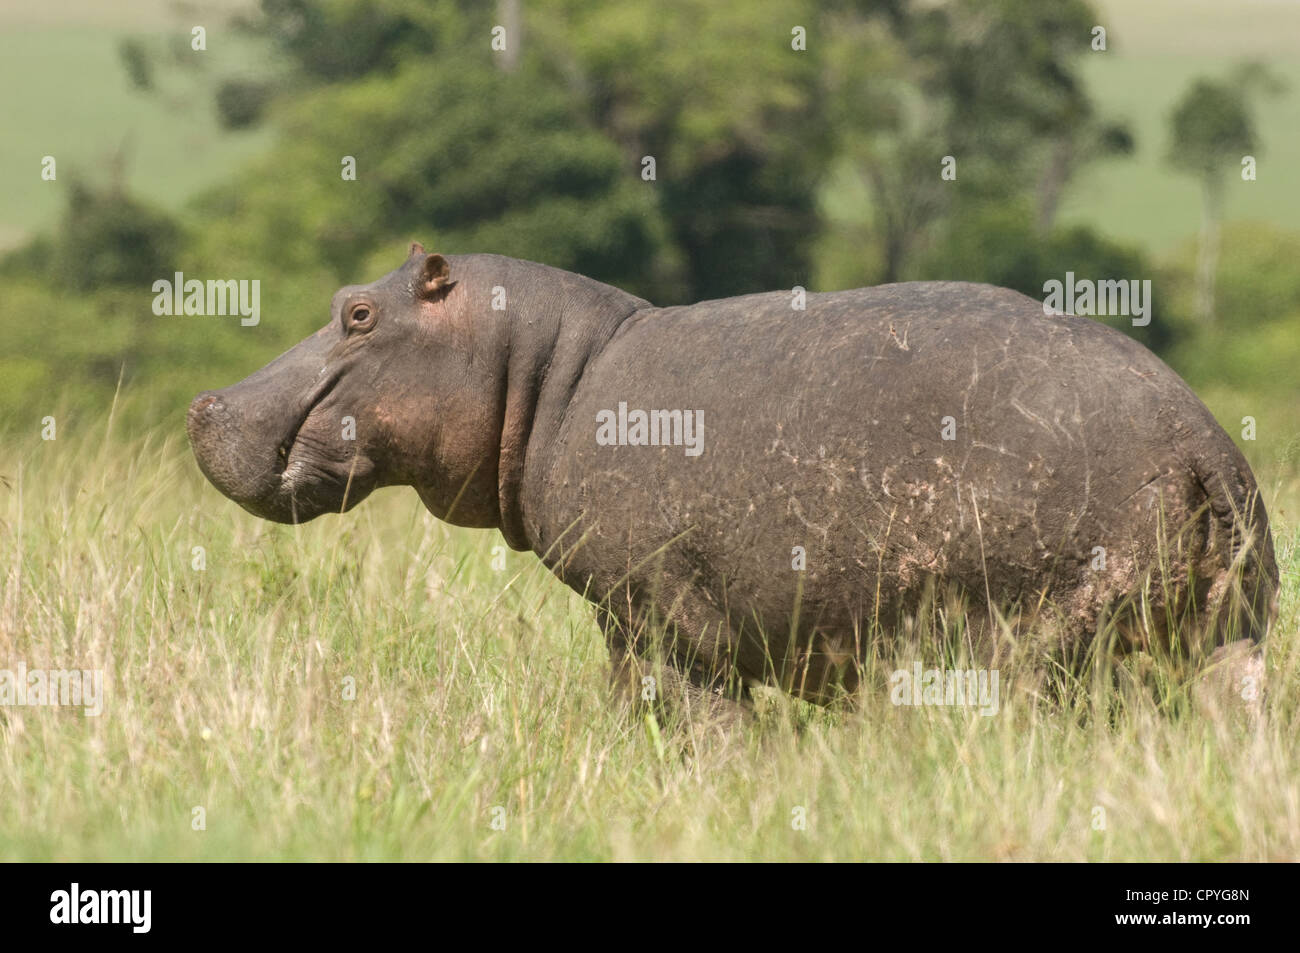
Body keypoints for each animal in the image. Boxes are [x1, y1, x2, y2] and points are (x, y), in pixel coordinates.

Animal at [188, 244, 1278, 716]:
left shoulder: (649, 614)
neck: (545, 374)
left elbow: (675, 714)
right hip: (1223, 632)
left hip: (1016, 633)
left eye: (358, 314)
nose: (205, 404)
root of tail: (1202, 440)